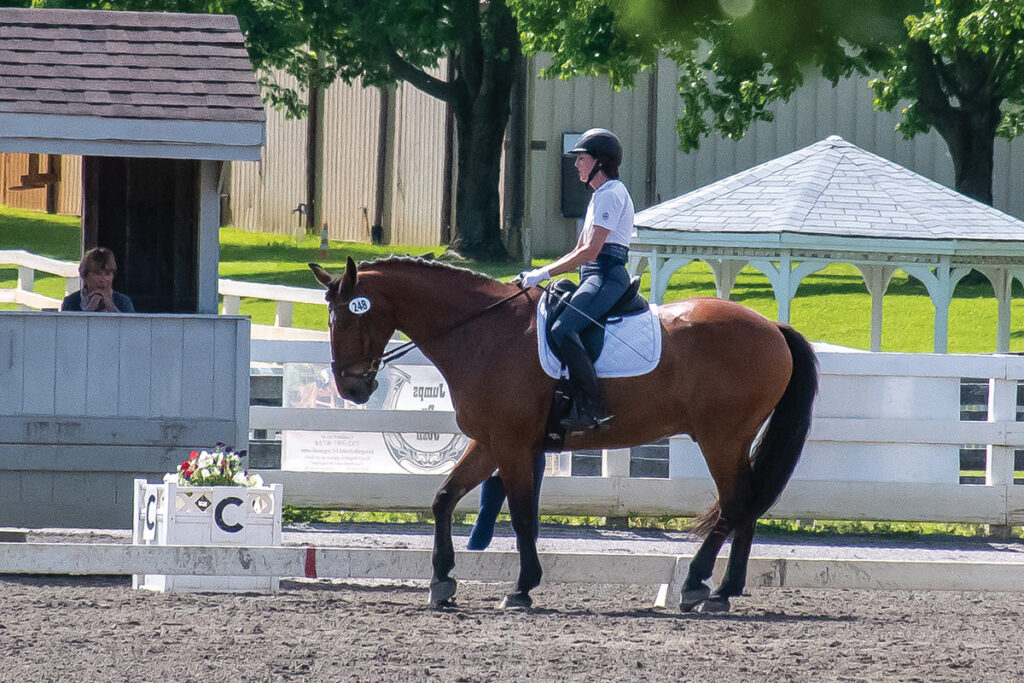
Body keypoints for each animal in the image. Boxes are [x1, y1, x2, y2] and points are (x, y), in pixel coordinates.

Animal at [311, 256, 818, 612]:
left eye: (351, 318)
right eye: (330, 319)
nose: (351, 389)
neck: (483, 331)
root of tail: (772, 326)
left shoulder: (513, 444)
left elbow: (521, 517)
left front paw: (521, 588)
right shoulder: (490, 442)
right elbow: (443, 498)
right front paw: (441, 582)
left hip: (721, 438)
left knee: (735, 503)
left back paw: (698, 585)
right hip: (733, 440)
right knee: (746, 503)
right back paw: (724, 590)